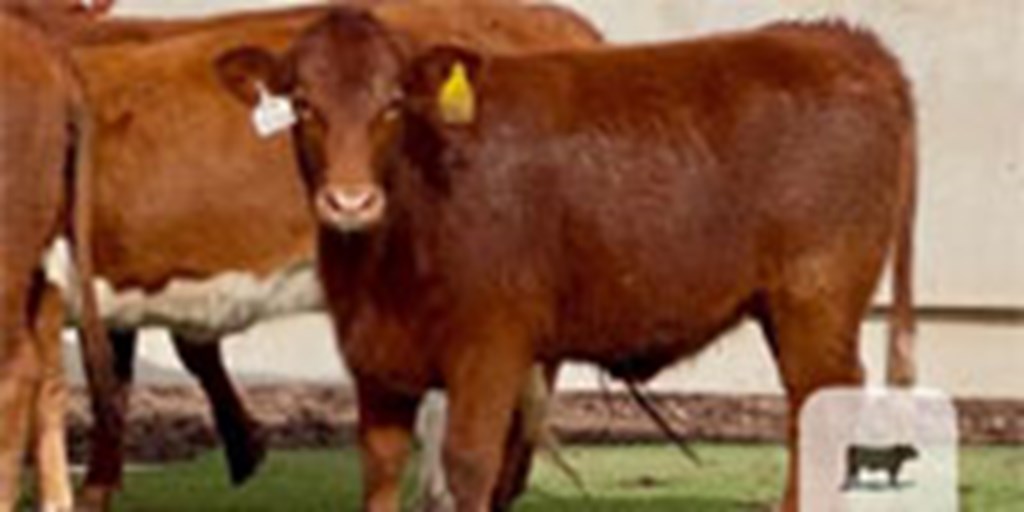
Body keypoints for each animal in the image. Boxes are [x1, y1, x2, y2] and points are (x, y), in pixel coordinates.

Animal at [217, 9, 917, 511]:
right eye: (302, 104)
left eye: (394, 103)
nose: (350, 200)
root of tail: (837, 40)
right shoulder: (376, 363)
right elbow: (383, 473)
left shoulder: (492, 348)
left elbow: (469, 465)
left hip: (817, 299)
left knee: (821, 408)